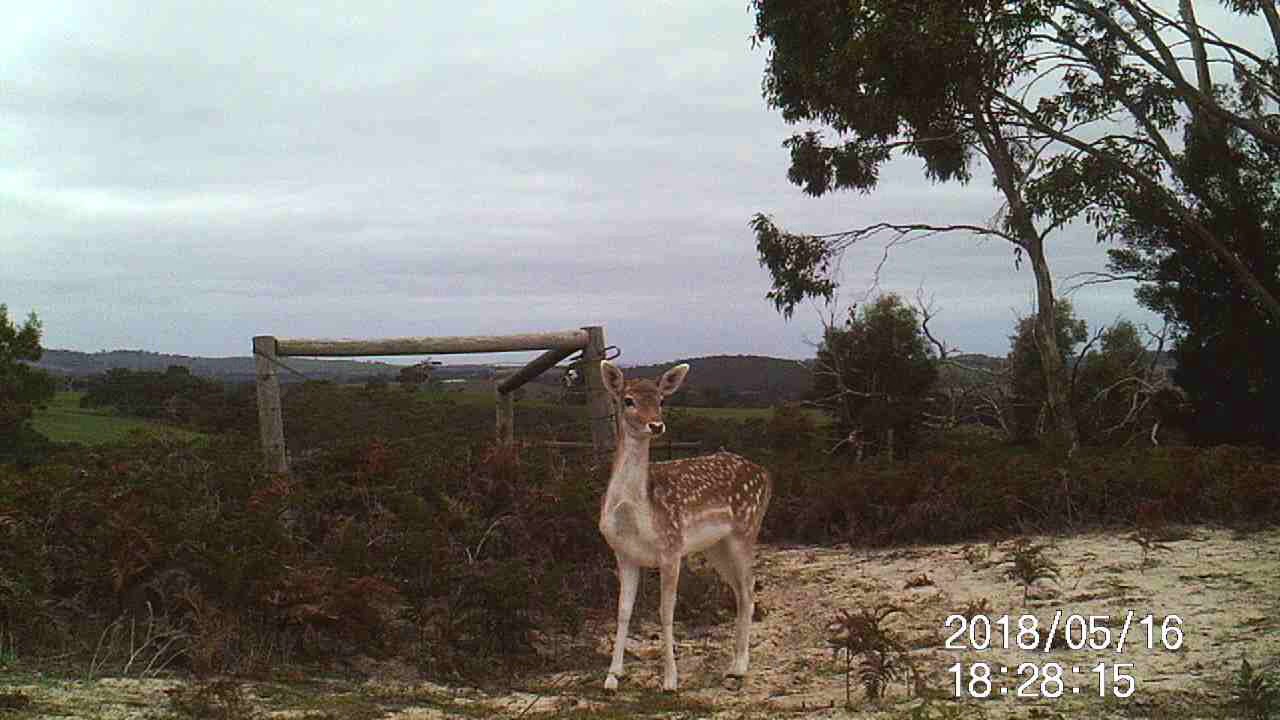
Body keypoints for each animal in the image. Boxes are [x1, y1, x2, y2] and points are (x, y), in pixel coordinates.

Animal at [597, 361, 771, 692]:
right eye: (628, 400)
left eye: (661, 400)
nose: (656, 425)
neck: (637, 513)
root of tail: (766, 474)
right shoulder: (623, 554)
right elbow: (623, 611)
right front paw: (612, 677)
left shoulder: (671, 546)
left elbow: (666, 612)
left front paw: (670, 680)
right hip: (717, 546)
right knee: (739, 589)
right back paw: (735, 663)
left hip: (747, 528)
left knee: (749, 588)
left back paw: (739, 666)